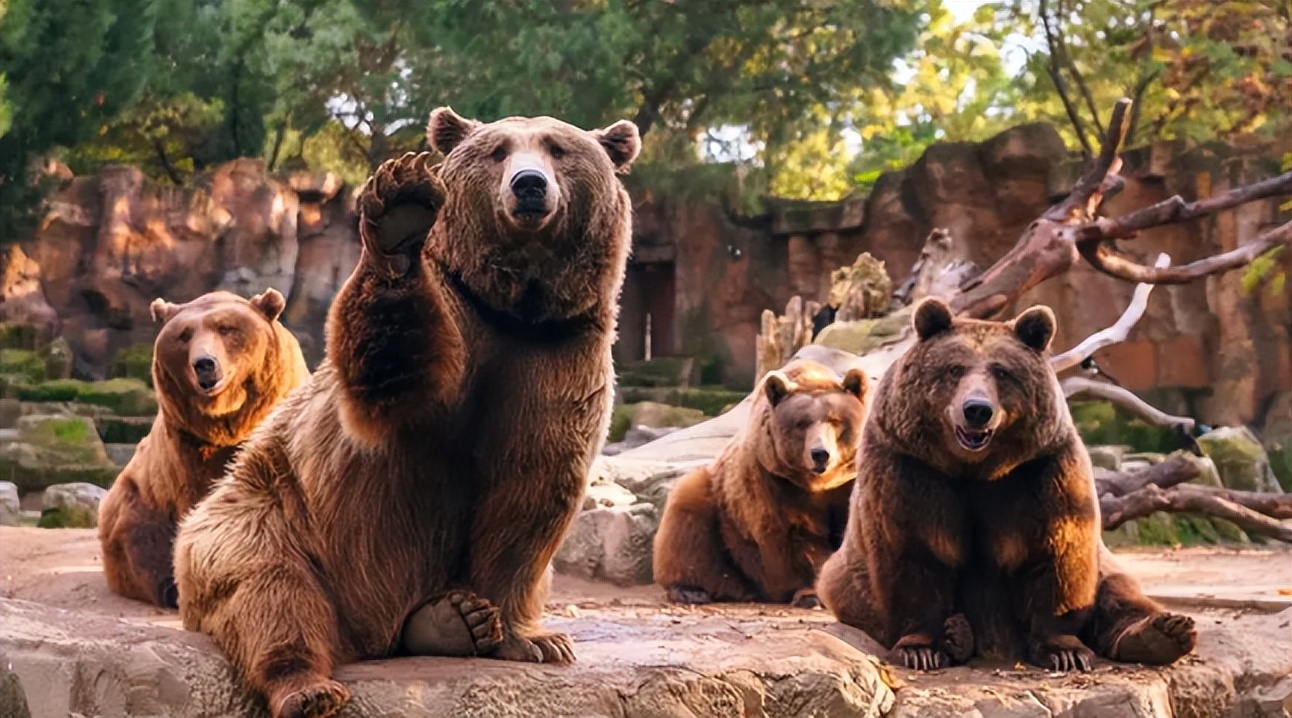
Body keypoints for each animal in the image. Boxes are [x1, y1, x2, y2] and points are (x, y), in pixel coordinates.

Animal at [98, 289, 309, 608]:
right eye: (184, 335)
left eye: (226, 328)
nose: (204, 363)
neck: (230, 423)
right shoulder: (187, 445)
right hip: (138, 499)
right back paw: (170, 589)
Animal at [172, 107, 641, 718]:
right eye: (498, 151)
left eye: (559, 149)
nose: (529, 185)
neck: (514, 311)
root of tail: (366, 634)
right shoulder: (454, 328)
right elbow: (390, 371)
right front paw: (401, 208)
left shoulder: (558, 358)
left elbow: (529, 496)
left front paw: (533, 639)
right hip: (265, 517)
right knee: (268, 590)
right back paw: (309, 687)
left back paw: (454, 620)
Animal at [652, 359, 869, 608]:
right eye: (801, 423)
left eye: (835, 420)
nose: (820, 454)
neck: (819, 484)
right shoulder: (774, 482)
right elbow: (797, 538)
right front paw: (811, 594)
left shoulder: (850, 482)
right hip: (721, 515)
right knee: (687, 519)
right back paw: (690, 590)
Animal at [817, 297, 1197, 672]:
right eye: (954, 369)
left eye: (1002, 371)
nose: (977, 409)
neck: (974, 469)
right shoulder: (910, 469)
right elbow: (912, 550)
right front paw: (920, 648)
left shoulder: (1039, 471)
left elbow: (1058, 551)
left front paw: (1065, 651)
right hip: (845, 583)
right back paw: (958, 634)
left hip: (1104, 565)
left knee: (1118, 591)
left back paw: (1163, 632)